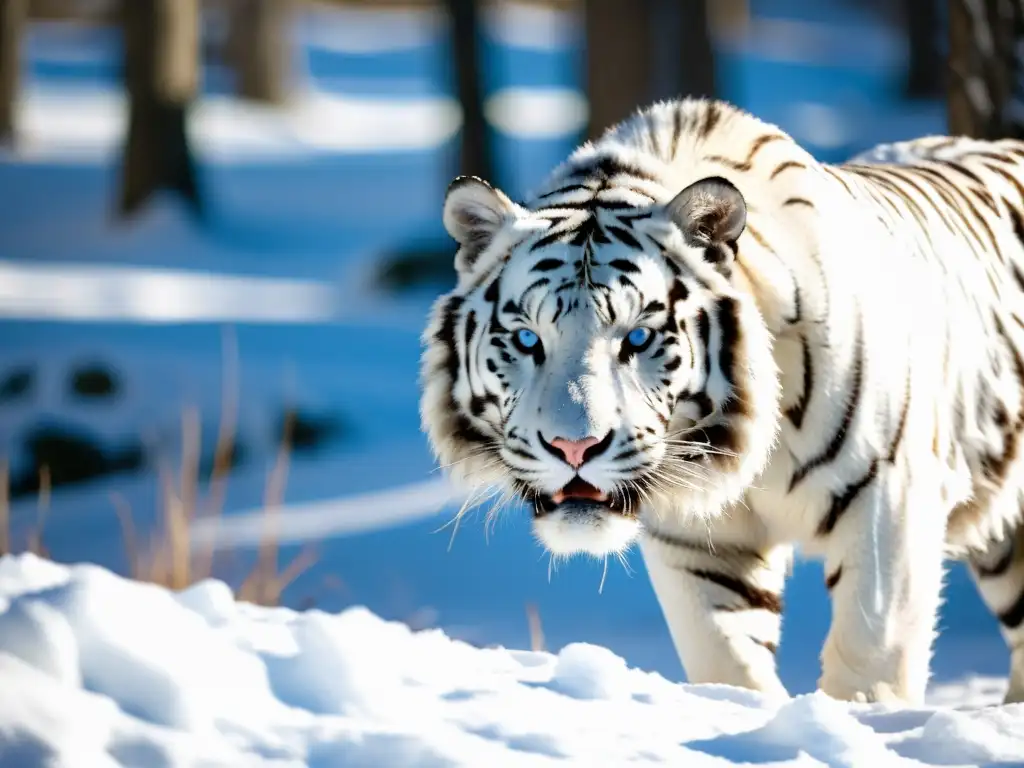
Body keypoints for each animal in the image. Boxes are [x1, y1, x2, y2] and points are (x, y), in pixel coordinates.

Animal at [415, 99, 1024, 708]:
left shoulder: (889, 501)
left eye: (638, 337)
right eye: (526, 339)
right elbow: (725, 661)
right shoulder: (697, 544)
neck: (743, 451)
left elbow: (868, 660)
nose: (574, 447)